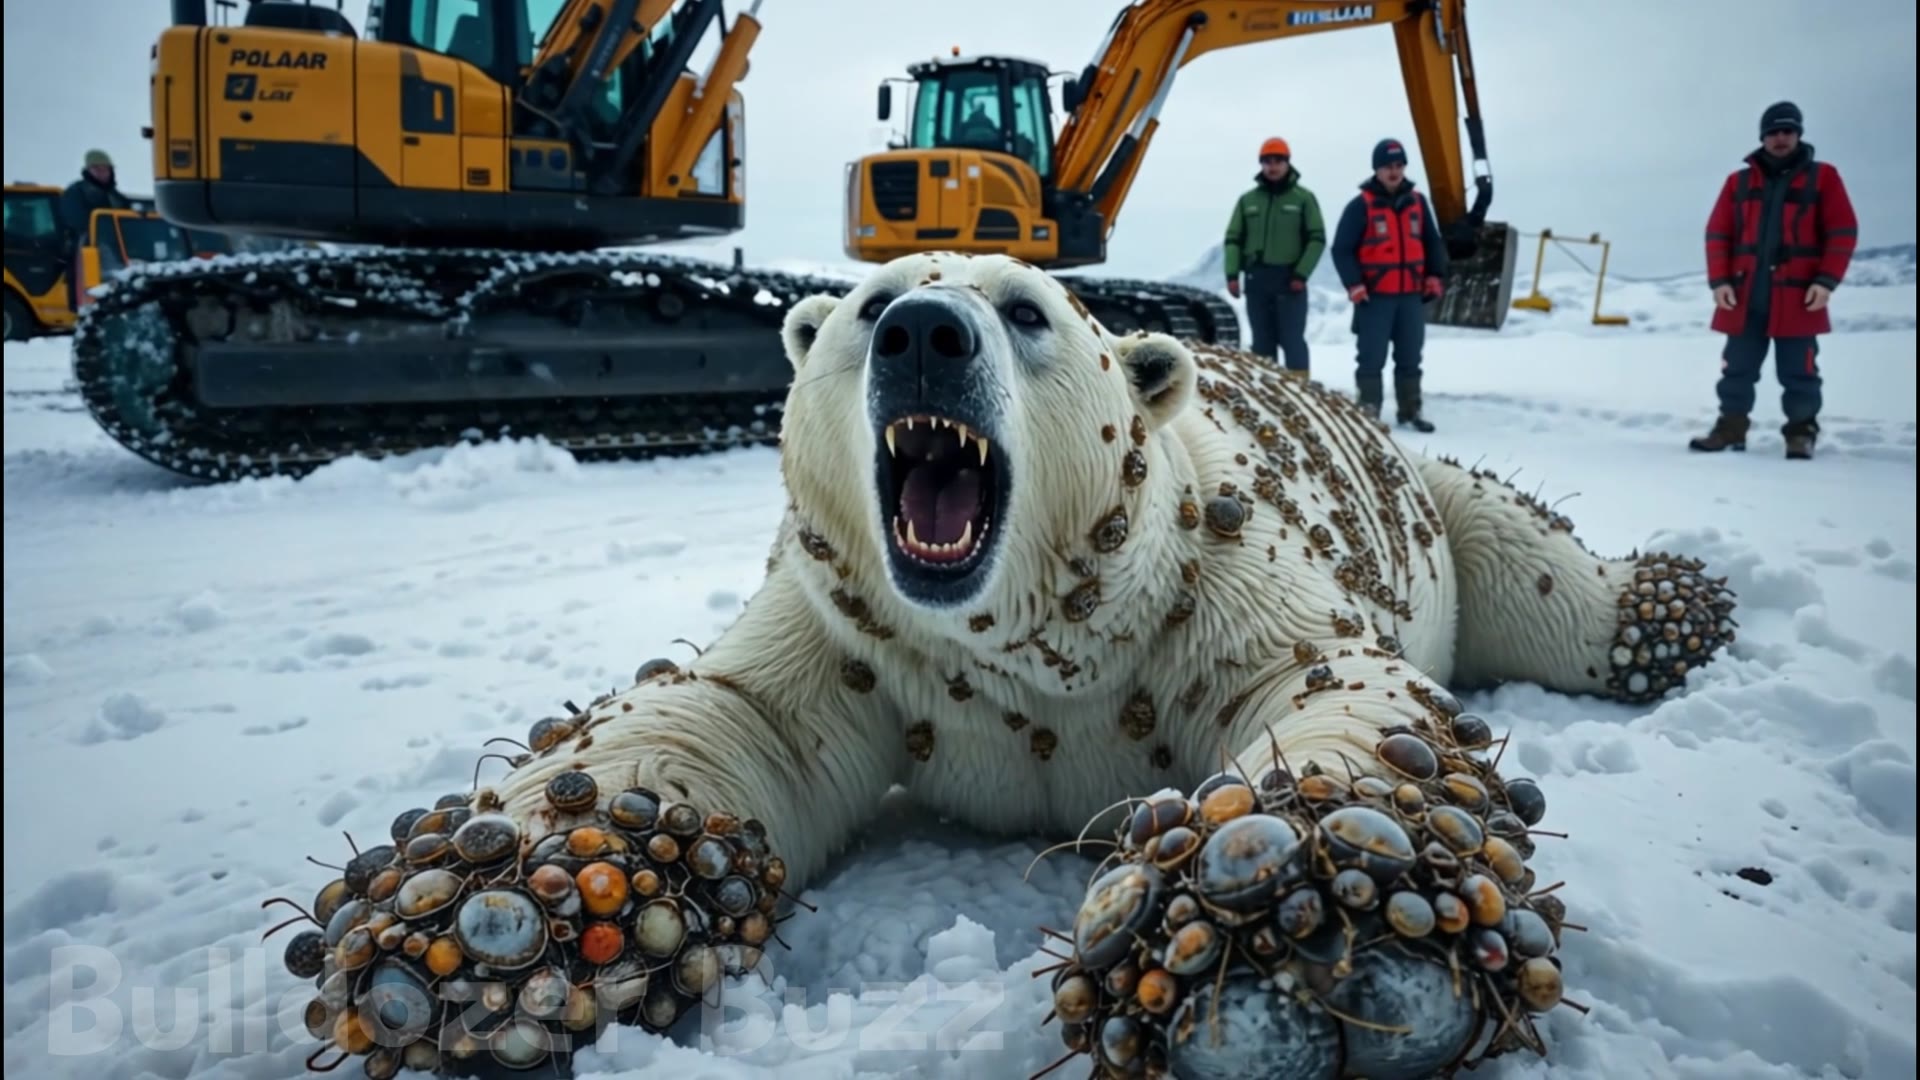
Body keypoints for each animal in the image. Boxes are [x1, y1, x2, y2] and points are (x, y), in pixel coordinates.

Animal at [266, 253, 1737, 1080]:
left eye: (1028, 308)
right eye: (863, 306)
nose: (925, 330)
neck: (1028, 643)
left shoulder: (1207, 576)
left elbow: (1323, 684)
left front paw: (1315, 939)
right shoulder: (856, 632)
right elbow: (722, 719)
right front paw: (485, 926)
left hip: (1429, 497)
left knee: (1533, 567)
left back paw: (1673, 609)